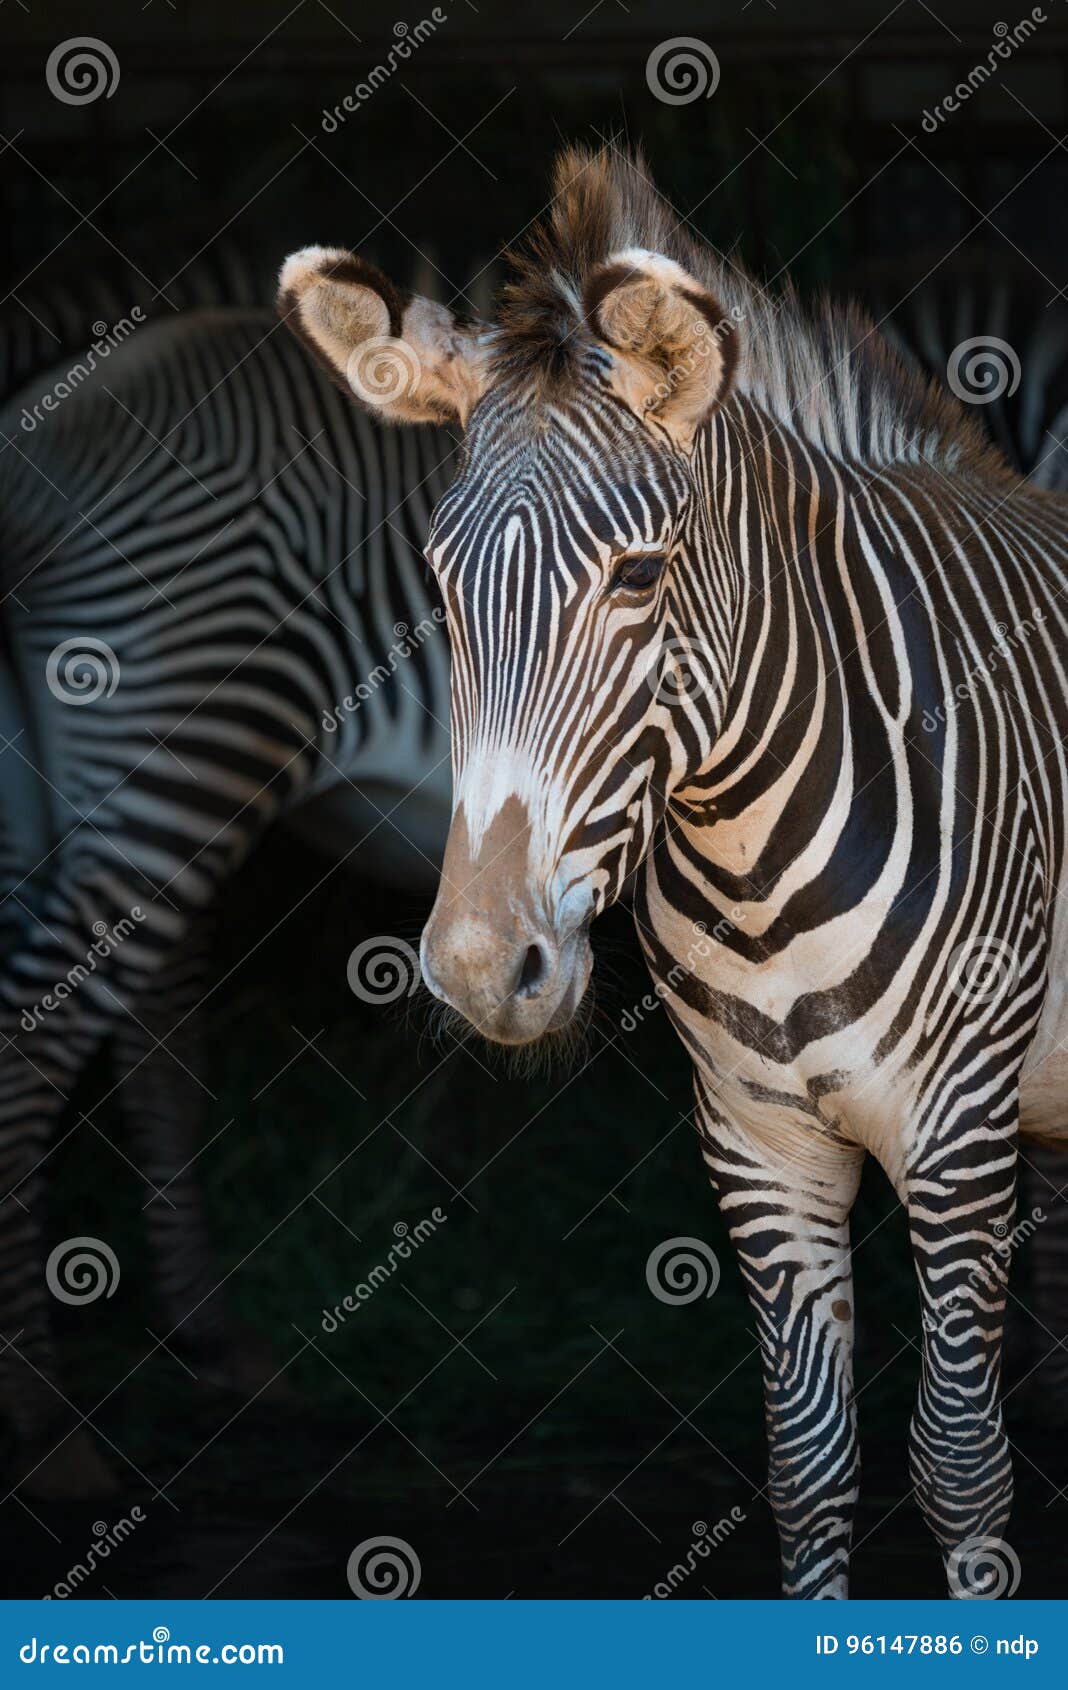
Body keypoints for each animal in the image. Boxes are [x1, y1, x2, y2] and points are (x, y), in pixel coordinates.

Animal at [280, 144, 1068, 1599]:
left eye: (638, 578)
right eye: (442, 589)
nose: (482, 970)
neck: (757, 872)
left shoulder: (958, 1132)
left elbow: (960, 1465)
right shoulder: (759, 1144)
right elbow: (809, 1468)